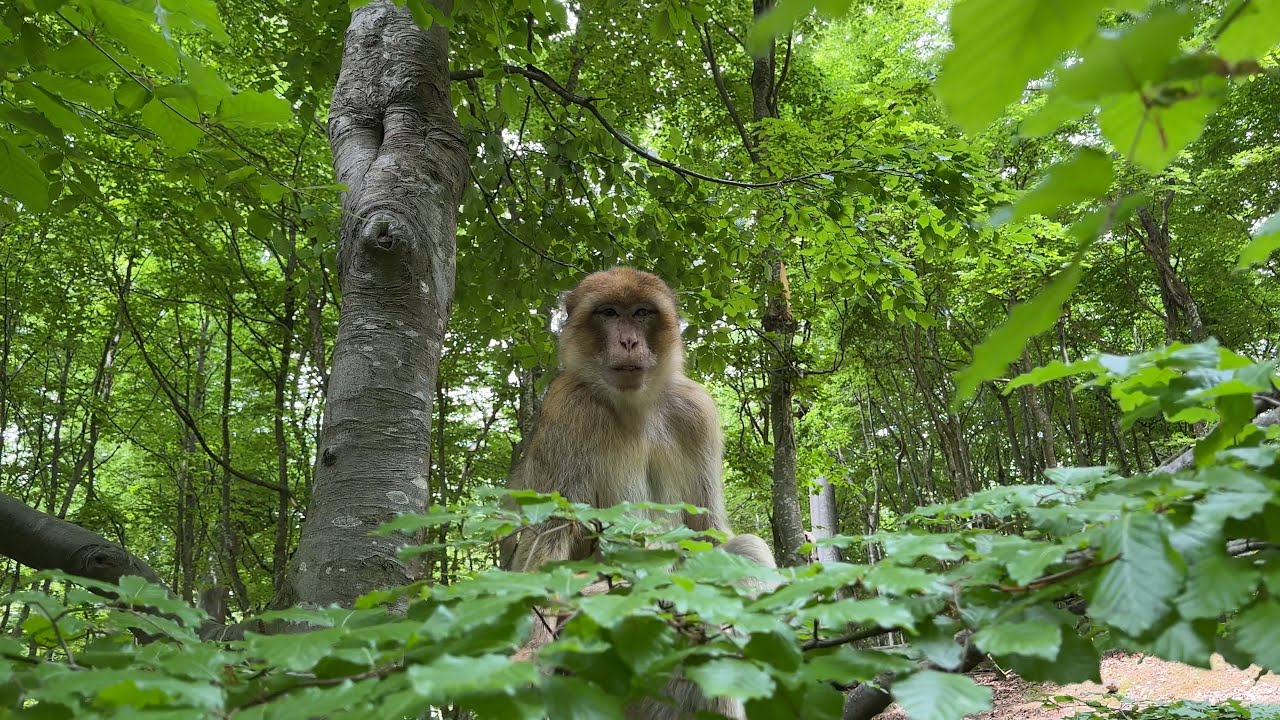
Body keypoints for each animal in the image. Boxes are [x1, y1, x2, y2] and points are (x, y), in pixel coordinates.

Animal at [502, 267, 776, 719]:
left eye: (642, 312)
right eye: (610, 313)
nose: (629, 341)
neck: (634, 405)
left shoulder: (695, 411)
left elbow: (708, 531)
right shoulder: (569, 408)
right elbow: (547, 544)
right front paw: (532, 649)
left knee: (745, 548)